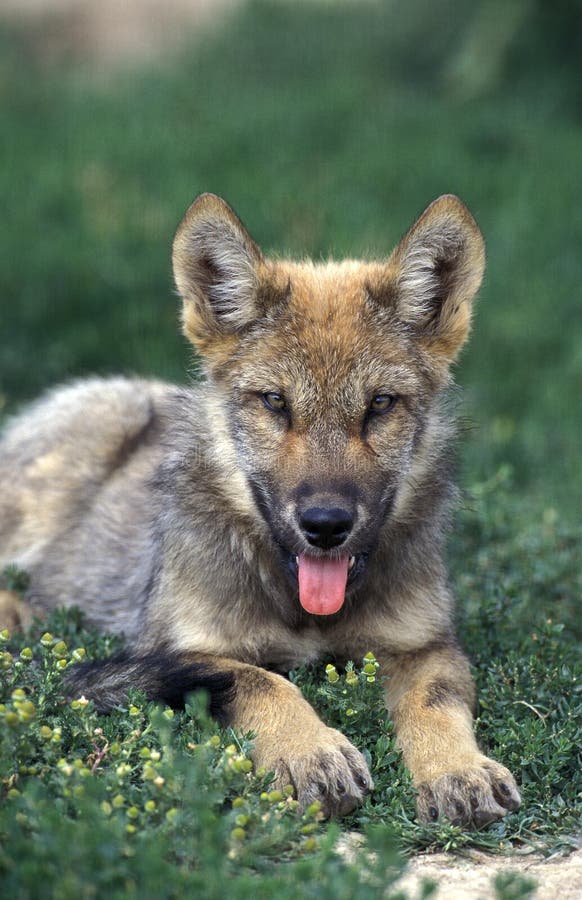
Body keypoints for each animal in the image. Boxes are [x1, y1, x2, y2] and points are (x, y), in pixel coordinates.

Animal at [0, 193, 521, 824]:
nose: (325, 525)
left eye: (379, 405)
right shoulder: (180, 649)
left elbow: (435, 704)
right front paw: (310, 753)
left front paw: (457, 770)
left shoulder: (425, 644)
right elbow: (262, 681)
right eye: (276, 402)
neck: (309, 615)